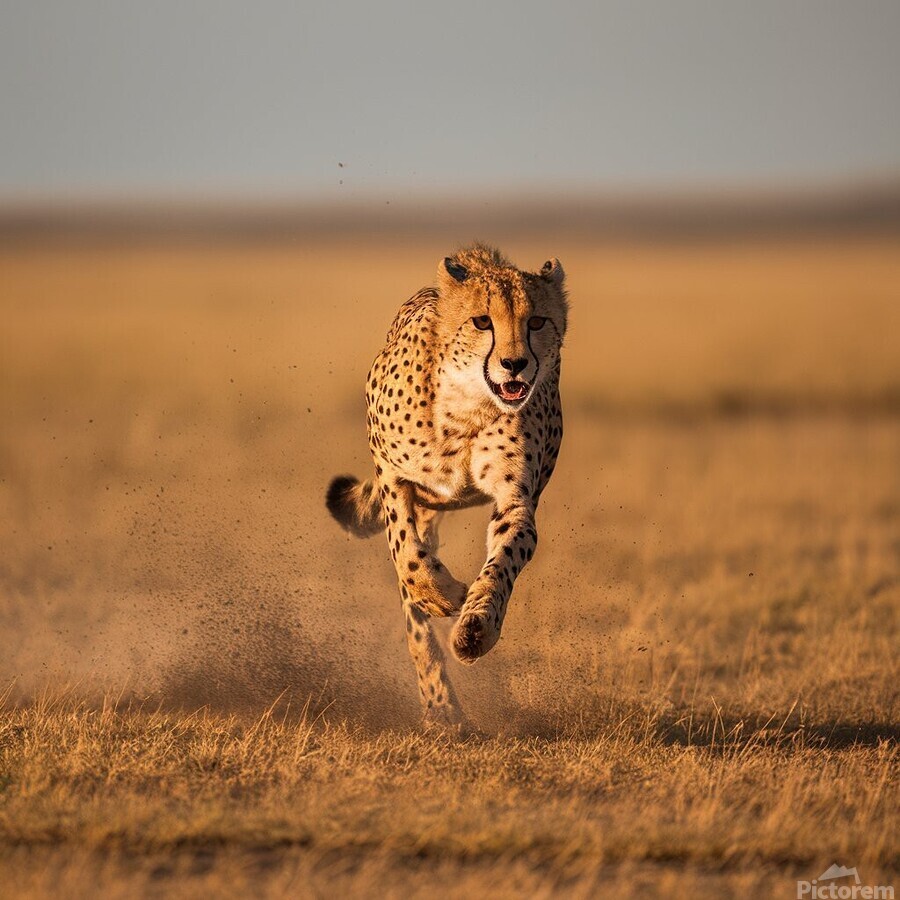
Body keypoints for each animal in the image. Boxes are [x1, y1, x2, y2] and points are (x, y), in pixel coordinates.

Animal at [326, 243, 567, 729]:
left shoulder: (516, 498)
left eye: (536, 322)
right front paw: (444, 594)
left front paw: (476, 625)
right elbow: (407, 552)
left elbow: (503, 561)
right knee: (414, 613)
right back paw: (442, 709)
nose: (515, 364)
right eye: (482, 321)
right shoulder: (391, 473)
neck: (469, 406)